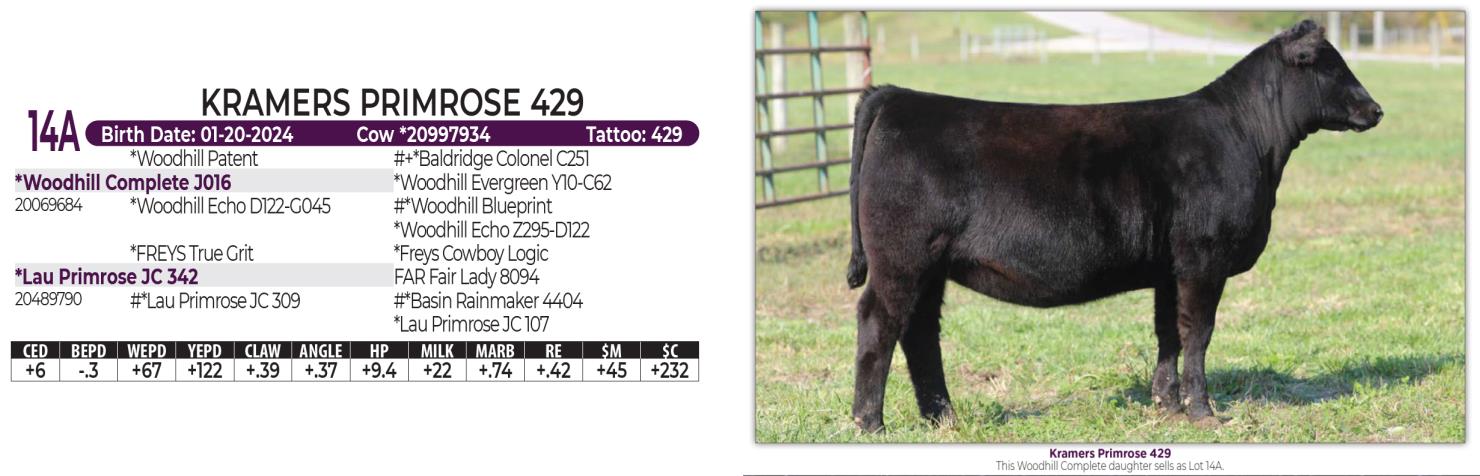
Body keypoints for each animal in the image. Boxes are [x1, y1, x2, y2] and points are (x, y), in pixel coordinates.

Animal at [845, 20, 1382, 432]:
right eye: (1327, 64)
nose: (1375, 109)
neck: (1246, 137)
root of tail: (896, 96)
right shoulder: (1203, 258)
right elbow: (1198, 333)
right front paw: (1204, 412)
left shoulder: (1170, 266)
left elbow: (1168, 333)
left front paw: (1167, 406)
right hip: (902, 259)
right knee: (879, 323)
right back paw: (870, 422)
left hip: (930, 267)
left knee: (919, 332)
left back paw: (943, 418)